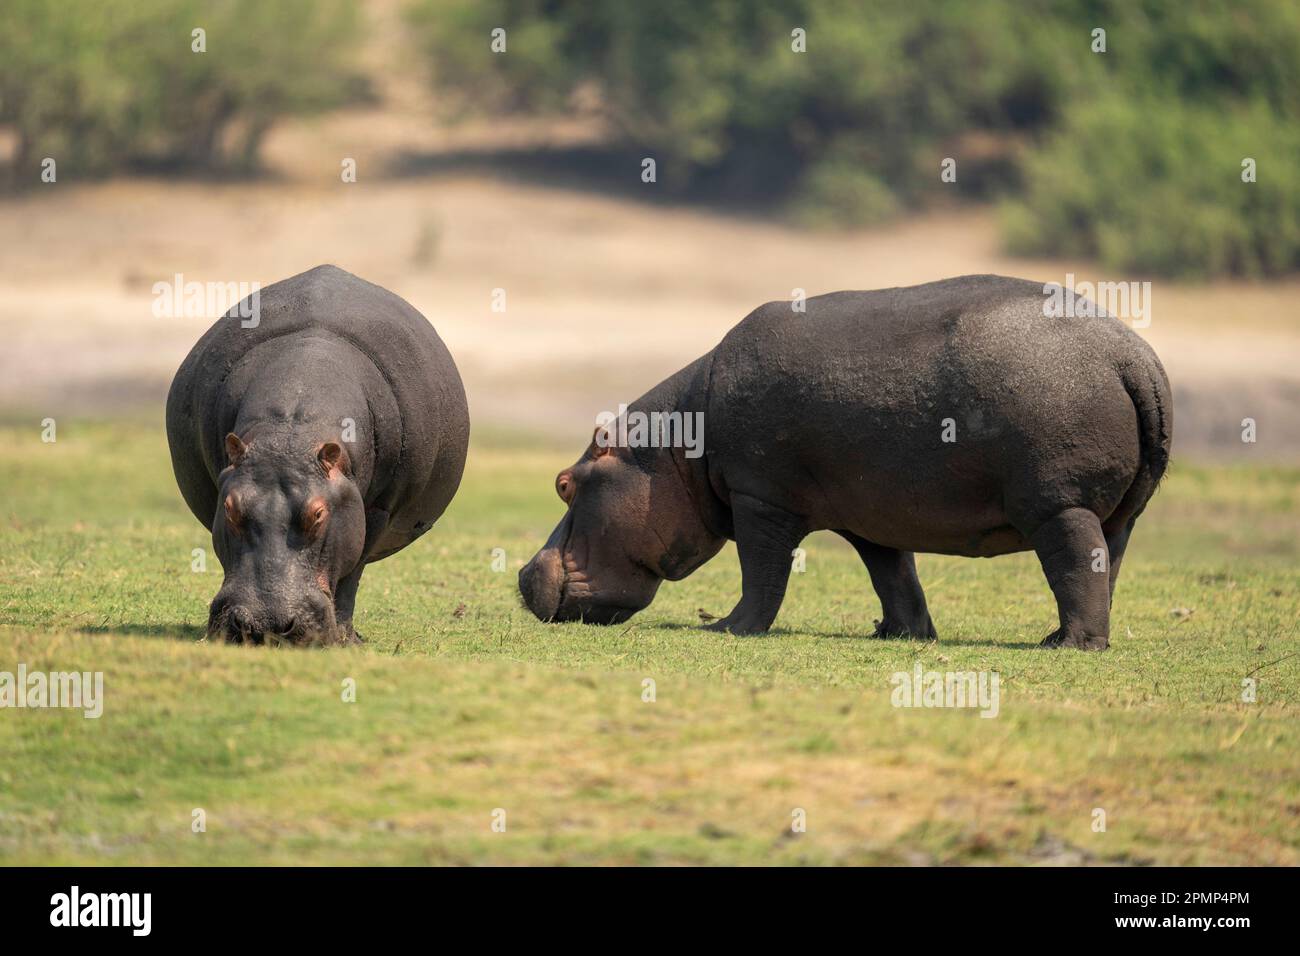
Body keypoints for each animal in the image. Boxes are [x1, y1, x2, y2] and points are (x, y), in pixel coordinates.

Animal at [166, 264, 469, 645]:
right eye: (230, 508)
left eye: (319, 514)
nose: (266, 625)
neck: (291, 433)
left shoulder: (377, 509)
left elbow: (352, 573)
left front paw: (345, 639)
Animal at [519, 275, 1171, 650]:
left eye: (564, 484)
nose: (523, 575)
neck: (674, 449)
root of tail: (1133, 356)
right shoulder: (870, 516)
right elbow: (894, 577)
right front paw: (901, 635)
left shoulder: (760, 498)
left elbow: (762, 574)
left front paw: (725, 628)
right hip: (1118, 515)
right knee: (1104, 565)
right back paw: (1058, 635)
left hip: (1057, 503)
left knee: (1074, 565)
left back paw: (1068, 645)